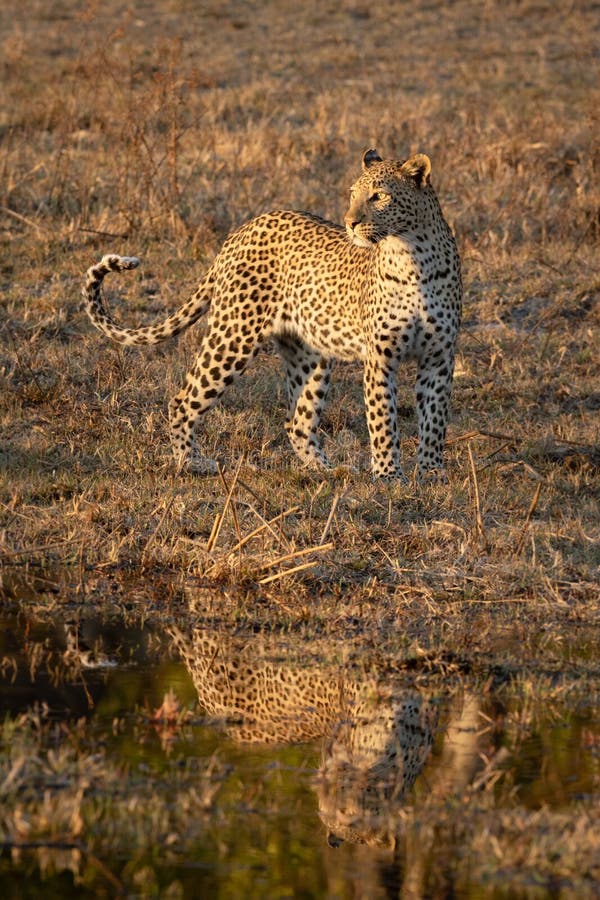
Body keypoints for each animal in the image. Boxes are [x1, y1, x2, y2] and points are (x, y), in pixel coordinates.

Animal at [84, 149, 462, 481]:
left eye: (379, 197)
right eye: (353, 195)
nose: (350, 223)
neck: (411, 255)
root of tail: (241, 230)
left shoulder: (439, 358)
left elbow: (434, 419)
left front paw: (431, 473)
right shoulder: (380, 357)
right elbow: (383, 419)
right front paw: (388, 475)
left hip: (310, 356)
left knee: (298, 423)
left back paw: (328, 471)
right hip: (233, 336)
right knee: (183, 400)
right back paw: (191, 462)